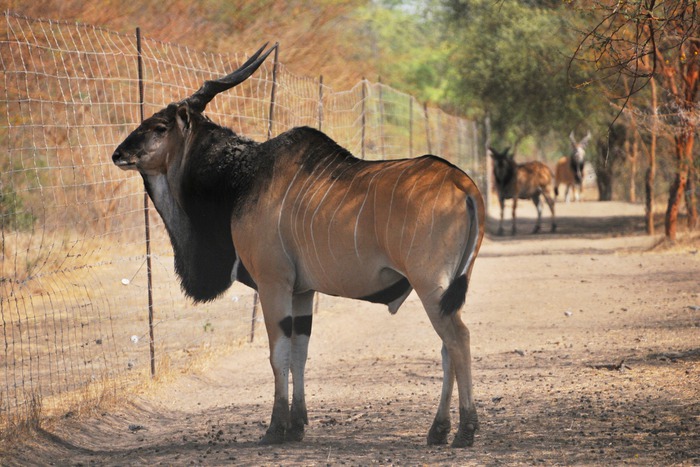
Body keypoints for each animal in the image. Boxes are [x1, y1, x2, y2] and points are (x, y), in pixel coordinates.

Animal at [112, 44, 485, 448]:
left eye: (159, 127)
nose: (119, 153)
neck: (241, 177)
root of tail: (463, 183)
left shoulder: (273, 283)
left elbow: (279, 355)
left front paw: (276, 428)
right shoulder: (303, 292)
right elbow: (300, 354)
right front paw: (297, 425)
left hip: (429, 284)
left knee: (459, 339)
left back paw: (465, 430)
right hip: (444, 288)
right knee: (447, 347)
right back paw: (438, 430)